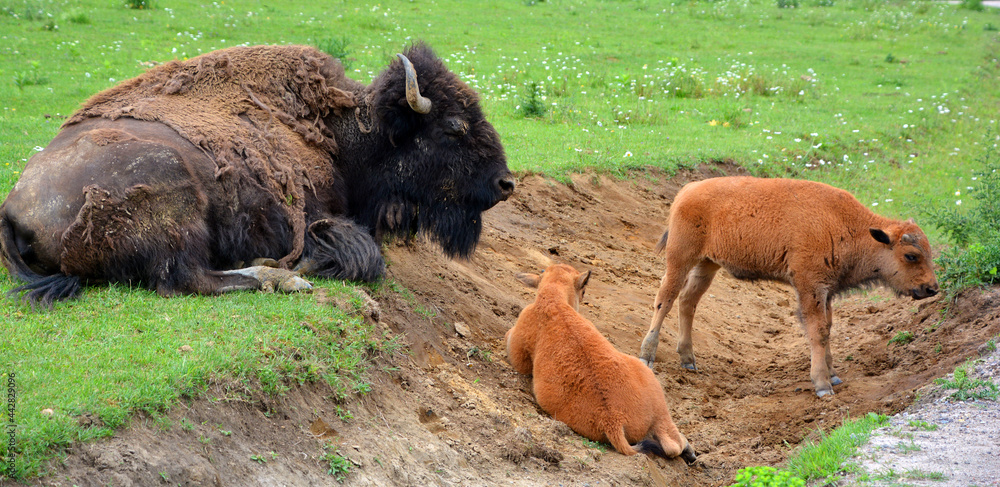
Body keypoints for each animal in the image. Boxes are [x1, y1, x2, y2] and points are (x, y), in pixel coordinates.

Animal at [0, 43, 516, 306]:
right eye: (454, 127)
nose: (506, 184)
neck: (344, 132)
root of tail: (11, 205)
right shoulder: (316, 218)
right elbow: (363, 256)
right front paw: (309, 266)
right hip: (173, 199)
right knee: (189, 279)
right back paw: (286, 278)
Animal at [638, 176, 939, 397]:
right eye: (911, 255)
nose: (932, 288)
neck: (848, 225)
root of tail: (687, 190)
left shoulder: (826, 292)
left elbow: (828, 328)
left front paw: (834, 375)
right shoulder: (810, 286)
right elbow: (818, 331)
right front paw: (823, 386)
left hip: (707, 264)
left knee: (688, 301)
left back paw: (688, 360)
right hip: (680, 258)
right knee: (665, 298)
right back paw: (646, 356)